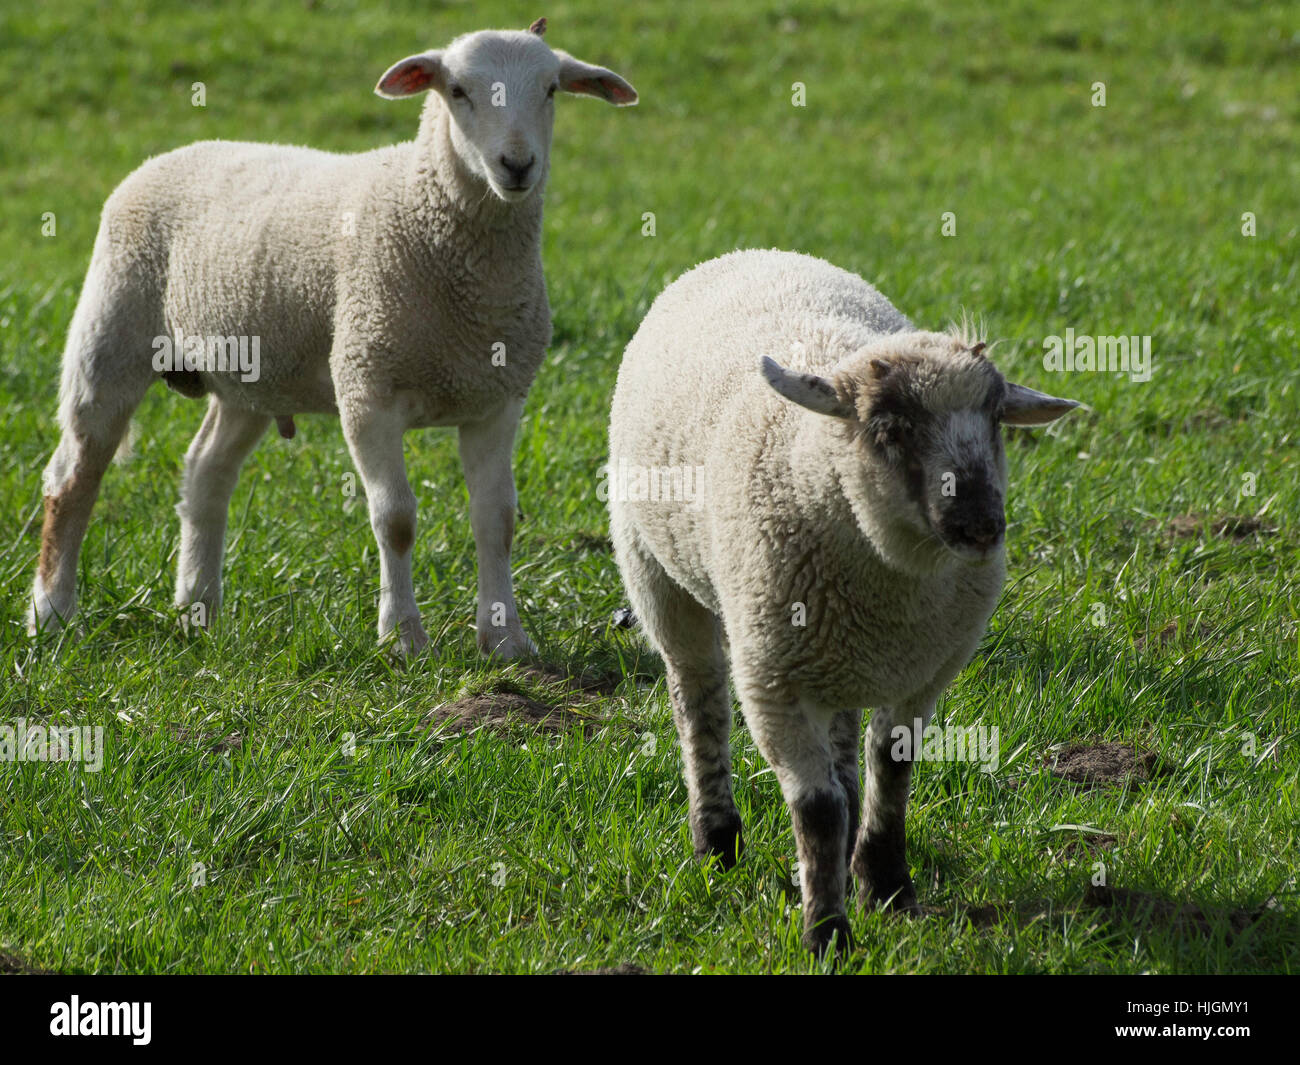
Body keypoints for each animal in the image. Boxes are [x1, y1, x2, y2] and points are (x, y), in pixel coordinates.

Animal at [27, 19, 637, 659]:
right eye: (458, 91)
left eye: (550, 89)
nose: (517, 165)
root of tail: (173, 154)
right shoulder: (367, 386)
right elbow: (396, 519)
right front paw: (402, 637)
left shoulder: (497, 399)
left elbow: (496, 520)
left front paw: (506, 640)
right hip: (110, 333)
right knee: (72, 477)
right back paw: (53, 613)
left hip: (248, 374)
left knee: (205, 471)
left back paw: (199, 609)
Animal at [607, 249, 1078, 954]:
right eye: (889, 428)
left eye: (995, 420)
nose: (981, 526)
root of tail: (751, 251)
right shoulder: (771, 681)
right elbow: (816, 808)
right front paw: (826, 932)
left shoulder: (922, 672)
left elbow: (893, 767)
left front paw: (885, 884)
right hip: (656, 575)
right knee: (699, 705)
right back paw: (716, 841)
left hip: (836, 659)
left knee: (841, 740)